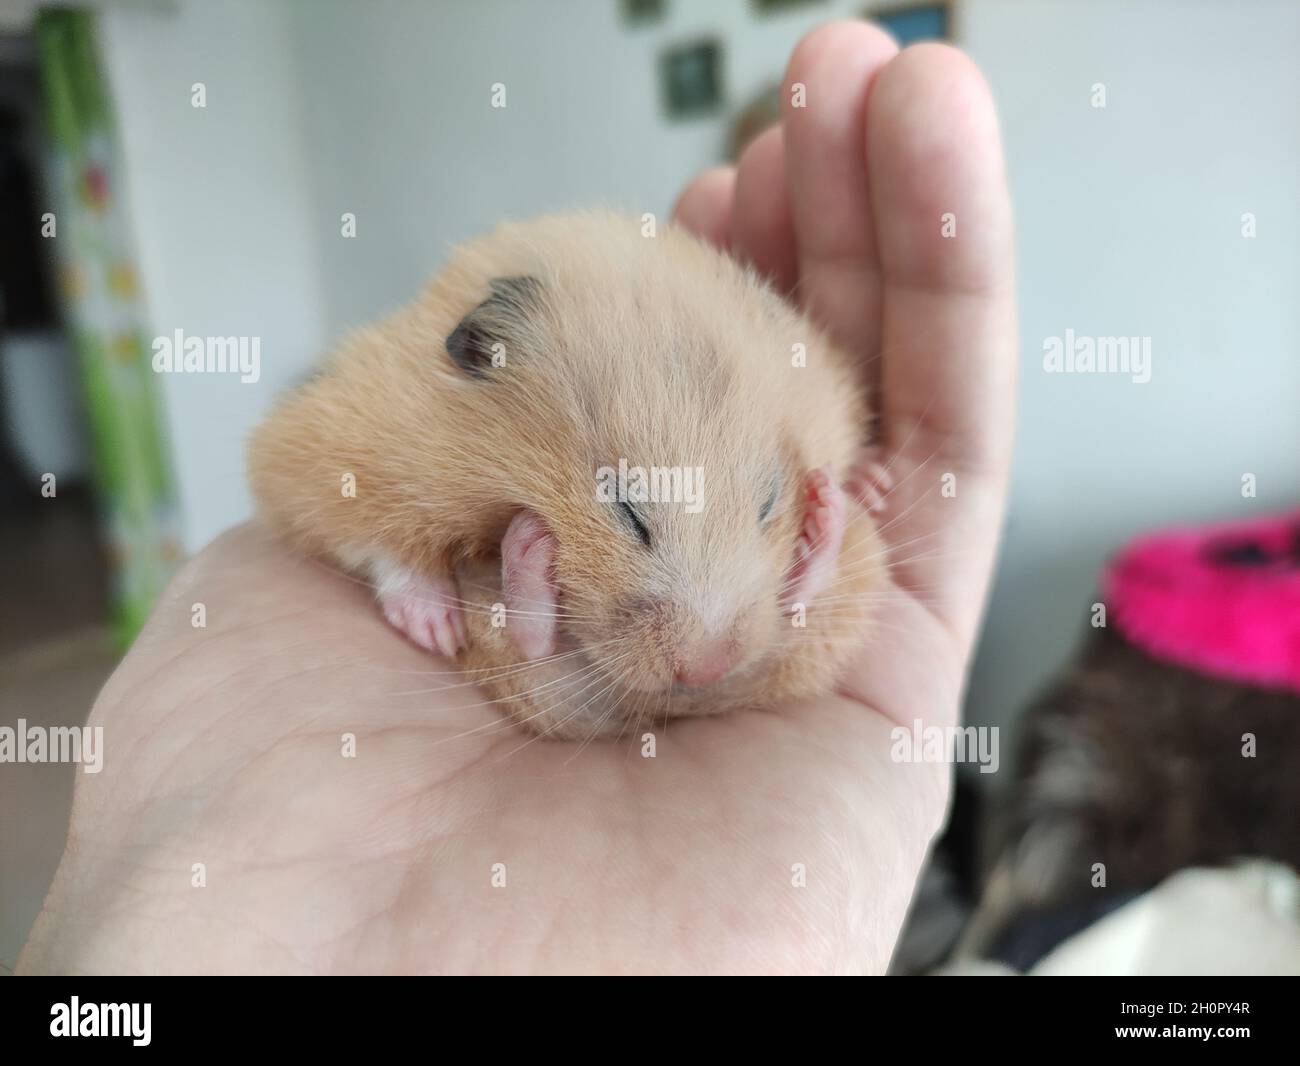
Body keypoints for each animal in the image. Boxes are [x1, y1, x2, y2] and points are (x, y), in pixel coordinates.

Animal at [248, 210, 891, 739]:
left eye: (768, 503)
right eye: (626, 509)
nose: (706, 668)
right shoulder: (329, 445)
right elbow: (371, 537)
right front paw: (436, 626)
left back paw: (836, 506)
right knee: (534, 645)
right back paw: (523, 555)